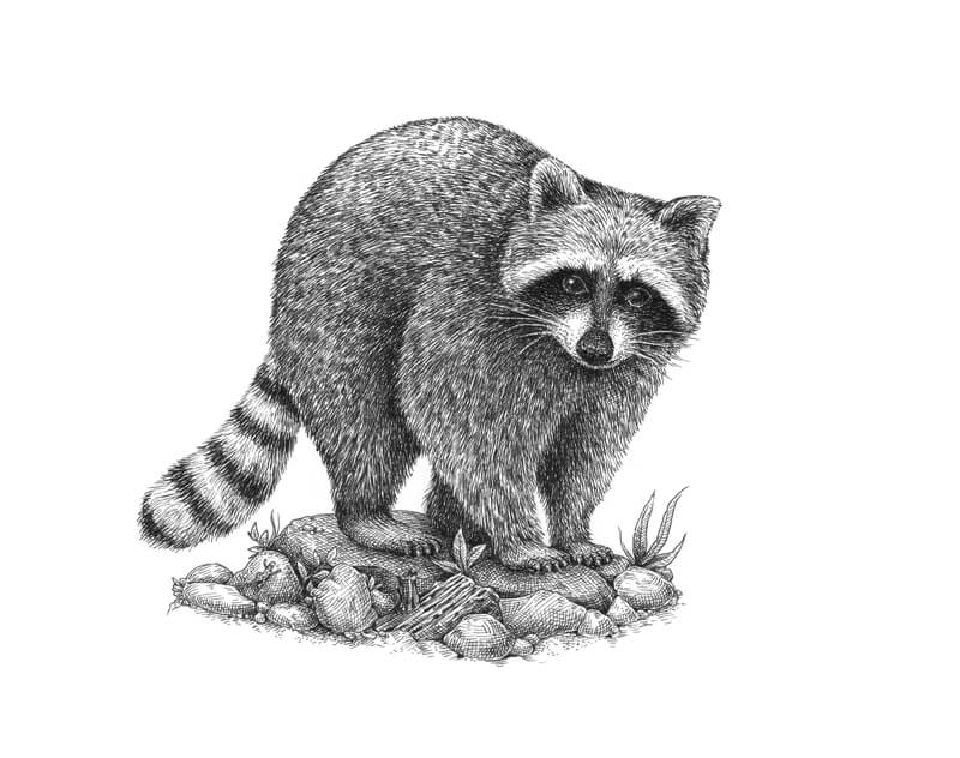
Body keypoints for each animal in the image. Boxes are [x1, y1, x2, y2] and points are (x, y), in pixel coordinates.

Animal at [139, 117, 719, 572]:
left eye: (637, 294)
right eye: (574, 282)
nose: (596, 348)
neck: (560, 347)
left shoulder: (627, 367)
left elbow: (587, 447)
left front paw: (573, 528)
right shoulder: (468, 312)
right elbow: (470, 432)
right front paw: (519, 537)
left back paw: (452, 521)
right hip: (335, 299)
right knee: (366, 416)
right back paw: (367, 512)